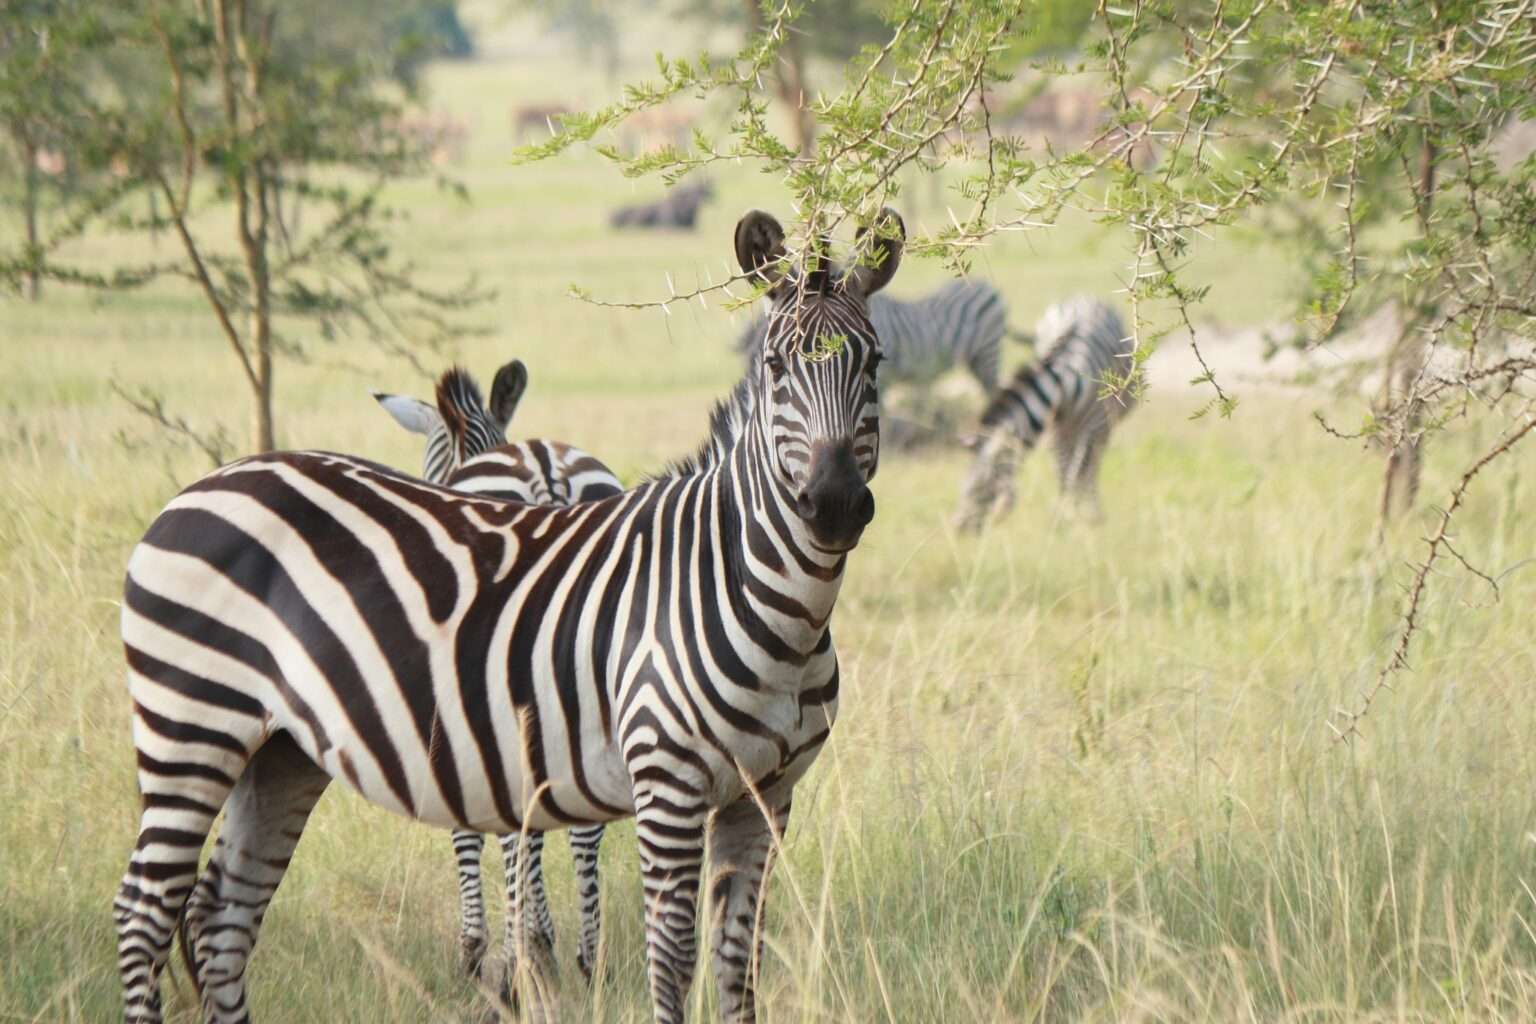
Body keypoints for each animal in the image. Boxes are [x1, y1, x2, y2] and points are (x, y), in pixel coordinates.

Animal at [373, 360, 625, 990]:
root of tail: (544, 467)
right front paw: (539, 937)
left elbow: (471, 831)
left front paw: (480, 947)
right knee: (583, 827)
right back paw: (586, 956)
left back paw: (516, 962)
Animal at [953, 295, 1139, 531]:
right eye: (963, 484)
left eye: (981, 486)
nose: (958, 528)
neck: (1067, 382)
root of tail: (1082, 297)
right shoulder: (1054, 426)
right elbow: (1062, 471)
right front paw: (1064, 518)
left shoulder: (1095, 424)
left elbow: (1078, 473)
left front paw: (1079, 520)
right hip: (1068, 430)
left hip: (1101, 427)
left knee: (1091, 467)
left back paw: (1094, 512)